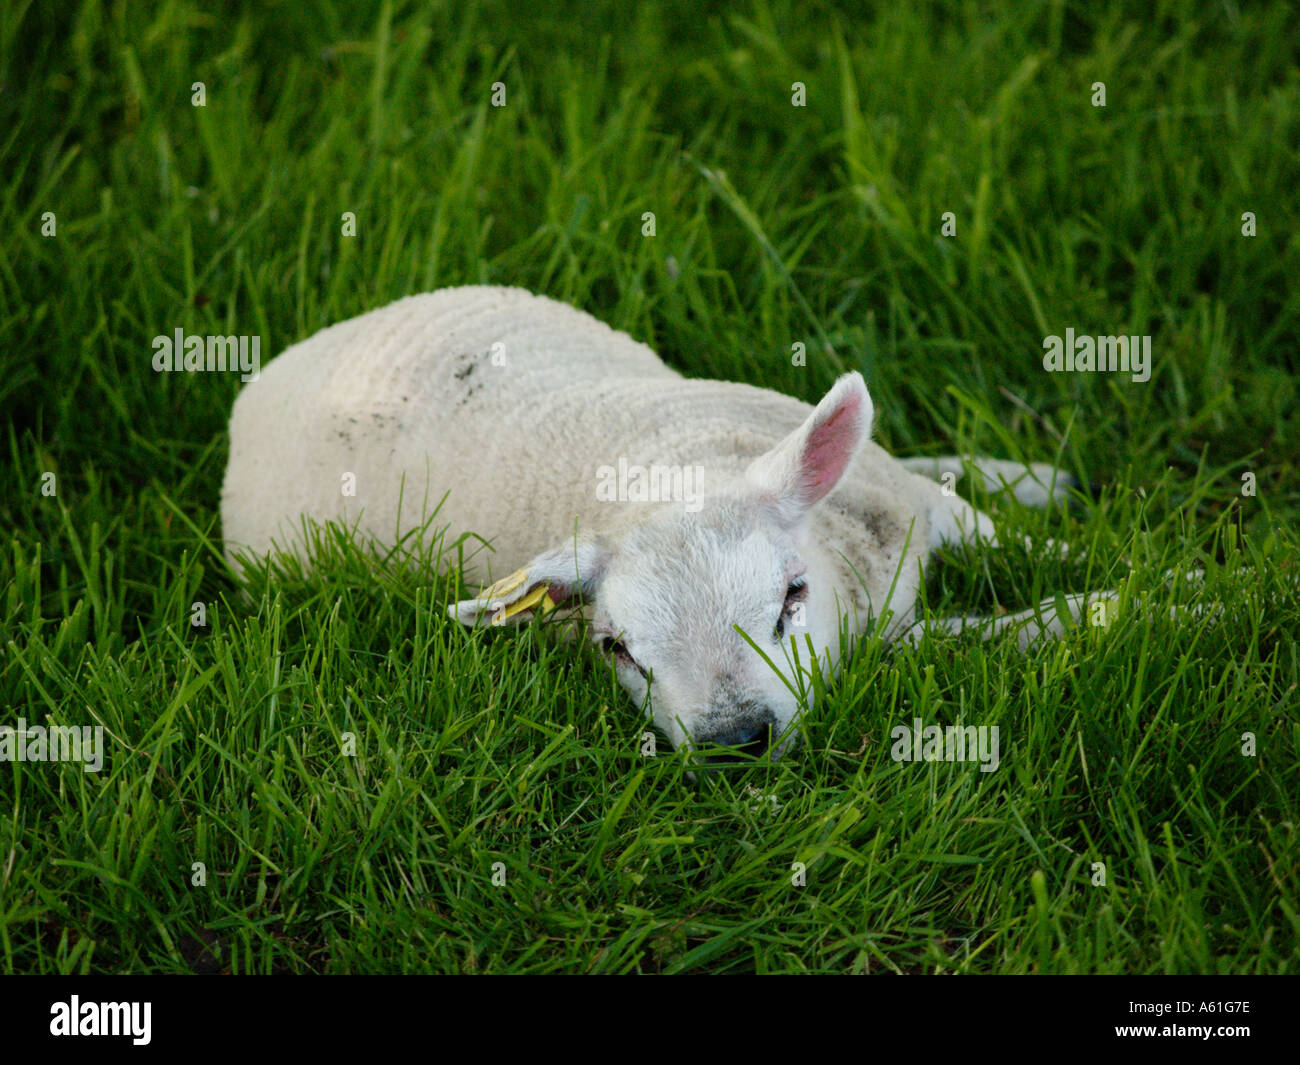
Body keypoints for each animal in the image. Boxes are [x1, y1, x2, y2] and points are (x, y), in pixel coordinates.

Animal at [221, 285, 1103, 759]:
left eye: (791, 596)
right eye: (617, 648)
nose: (734, 742)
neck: (667, 472)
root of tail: (266, 382)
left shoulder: (907, 515)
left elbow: (1010, 541)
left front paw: (1117, 567)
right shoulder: (890, 640)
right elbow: (1000, 632)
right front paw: (1117, 606)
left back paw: (1037, 477)